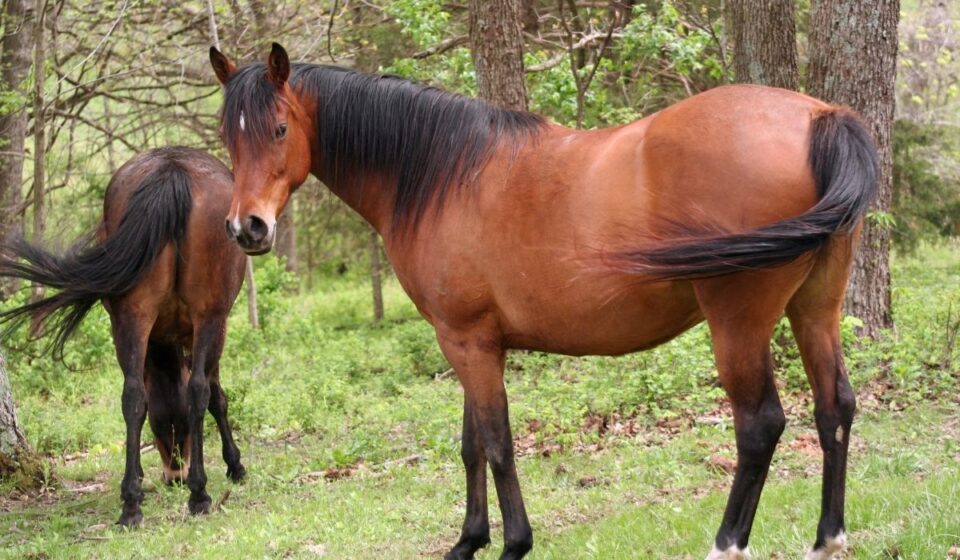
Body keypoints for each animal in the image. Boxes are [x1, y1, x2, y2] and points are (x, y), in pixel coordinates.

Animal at [0, 147, 248, 526]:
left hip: (130, 317)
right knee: (198, 392)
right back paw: (199, 494)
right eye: (168, 430)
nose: (174, 474)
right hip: (207, 316)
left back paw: (131, 502)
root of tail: (172, 170)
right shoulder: (211, 328)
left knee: (132, 397)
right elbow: (217, 397)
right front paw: (235, 465)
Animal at [209, 43, 877, 560]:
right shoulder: (469, 340)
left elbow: (499, 443)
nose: (247, 229)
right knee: (834, 407)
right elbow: (472, 444)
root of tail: (818, 115)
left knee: (760, 424)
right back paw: (828, 539)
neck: (440, 173)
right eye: (227, 138)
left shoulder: (467, 340)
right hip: (814, 309)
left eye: (279, 129)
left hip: (738, 322)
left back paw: (726, 543)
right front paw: (469, 540)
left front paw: (512, 543)